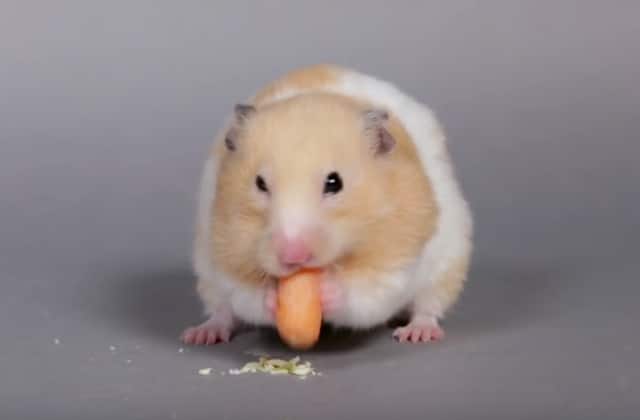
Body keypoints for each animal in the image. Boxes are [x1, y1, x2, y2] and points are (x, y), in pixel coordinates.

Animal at [182, 64, 473, 345]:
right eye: (260, 183)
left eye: (335, 182)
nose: (293, 257)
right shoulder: (225, 253)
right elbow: (246, 293)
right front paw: (272, 295)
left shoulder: (397, 256)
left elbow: (368, 291)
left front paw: (327, 289)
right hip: (207, 276)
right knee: (222, 311)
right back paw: (202, 335)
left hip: (448, 263)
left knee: (428, 306)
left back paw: (417, 333)